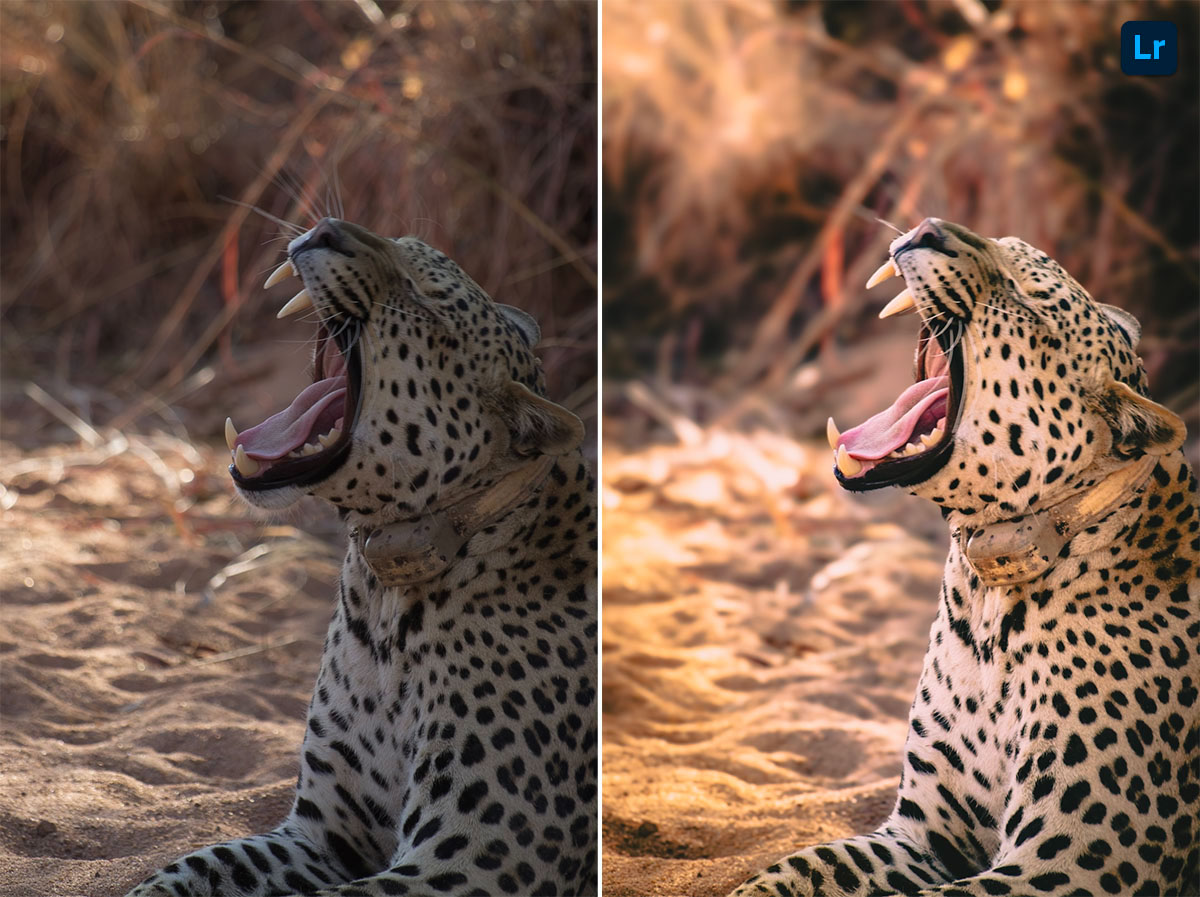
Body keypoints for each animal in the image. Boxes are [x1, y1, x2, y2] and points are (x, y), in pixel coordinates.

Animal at [126, 217, 598, 897]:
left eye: (426, 295)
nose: (326, 229)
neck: (386, 601)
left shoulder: (473, 863)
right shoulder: (326, 837)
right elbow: (199, 863)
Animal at [731, 218, 1198, 897]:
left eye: (1028, 298)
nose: (927, 228)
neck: (990, 602)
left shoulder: (1073, 864)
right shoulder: (927, 836)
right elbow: (807, 863)